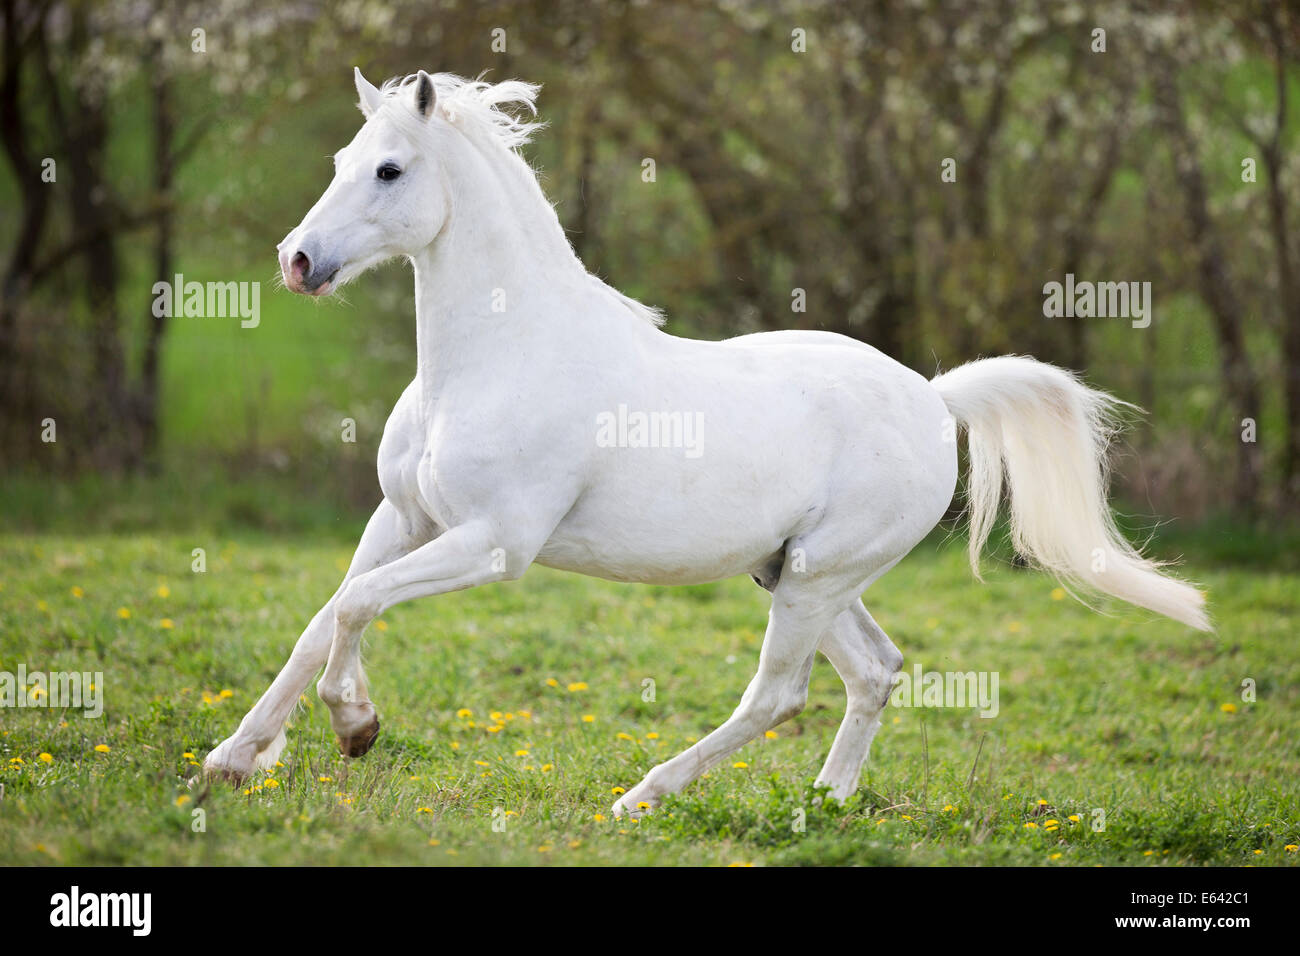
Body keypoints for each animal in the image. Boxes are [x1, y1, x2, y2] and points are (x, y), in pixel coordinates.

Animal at [203, 69, 1210, 816]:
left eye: (389, 171)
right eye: (342, 158)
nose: (297, 261)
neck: (497, 356)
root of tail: (933, 398)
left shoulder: (494, 545)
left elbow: (354, 606)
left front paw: (355, 726)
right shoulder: (404, 517)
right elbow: (327, 615)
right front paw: (233, 758)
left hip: (817, 577)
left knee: (780, 693)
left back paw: (643, 797)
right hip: (795, 570)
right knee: (876, 673)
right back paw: (825, 803)